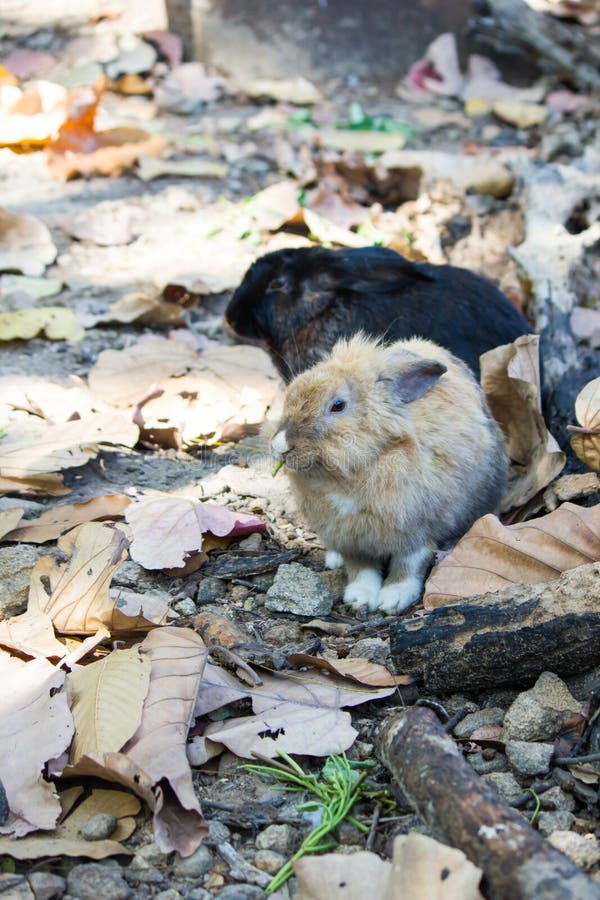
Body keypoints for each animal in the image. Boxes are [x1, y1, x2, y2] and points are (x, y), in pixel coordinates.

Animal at [270, 333, 508, 614]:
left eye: (338, 405)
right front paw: (360, 597)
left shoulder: (416, 531)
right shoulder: (349, 537)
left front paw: (392, 599)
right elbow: (360, 568)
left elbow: (409, 566)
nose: (280, 446)